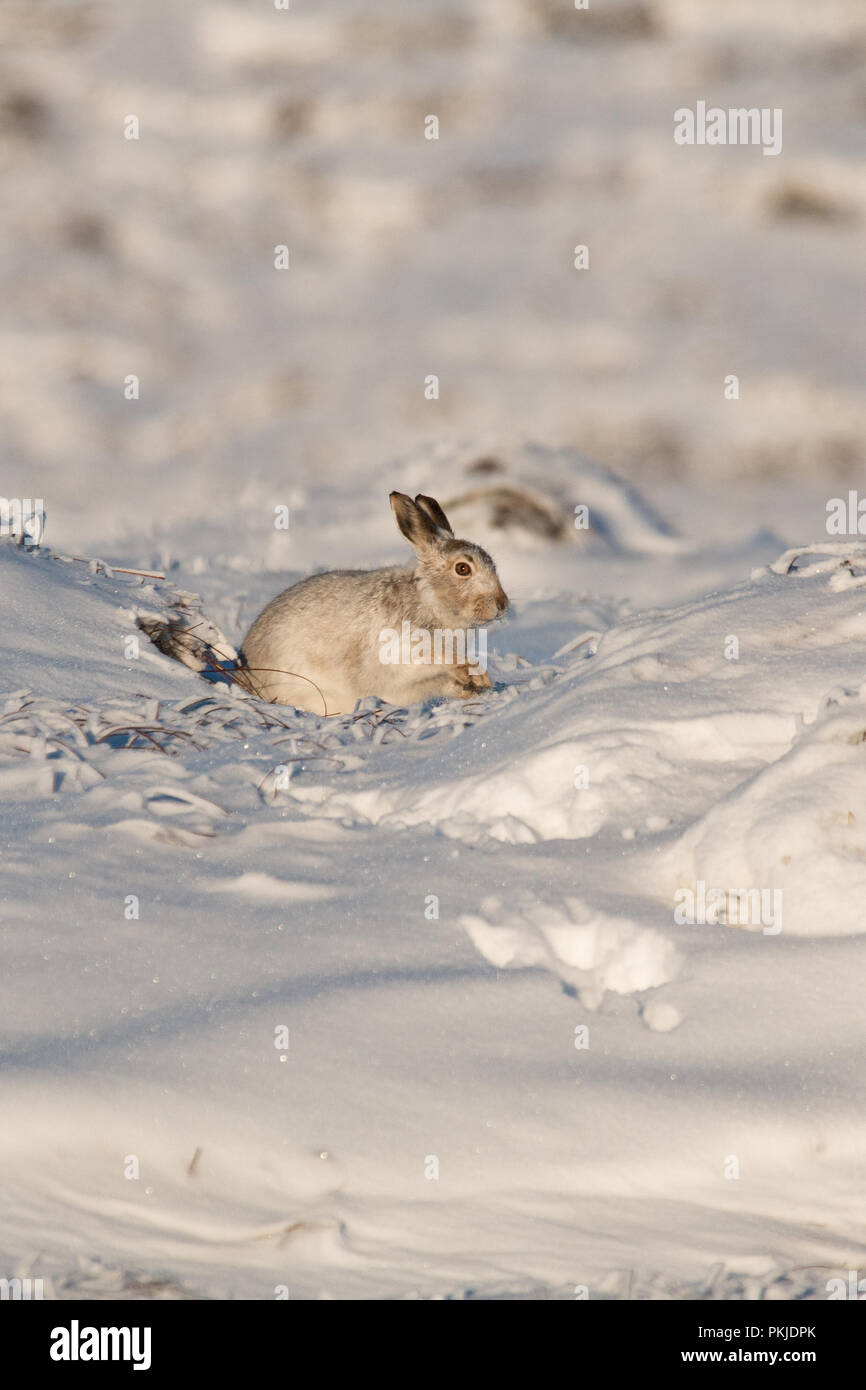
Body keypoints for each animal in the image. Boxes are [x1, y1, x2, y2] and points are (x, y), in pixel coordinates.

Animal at [238, 492, 509, 714]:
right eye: (463, 569)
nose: (502, 604)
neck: (428, 601)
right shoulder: (403, 655)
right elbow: (439, 661)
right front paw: (476, 675)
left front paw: (478, 684)